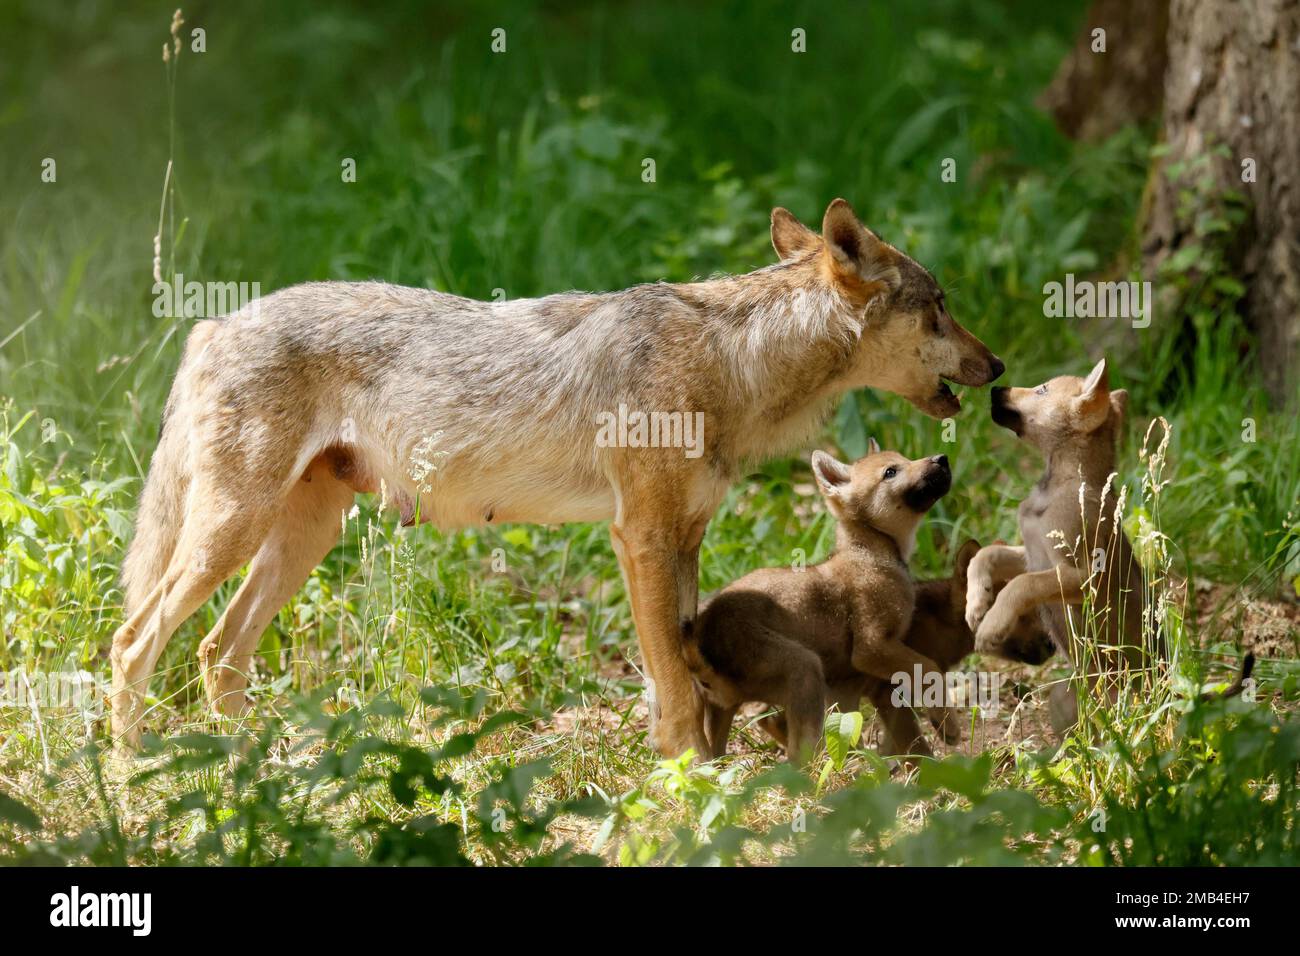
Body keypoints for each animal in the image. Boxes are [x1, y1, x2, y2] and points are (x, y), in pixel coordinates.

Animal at [110, 198, 1005, 754]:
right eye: (940, 305)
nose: (997, 368)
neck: (733, 366)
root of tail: (210, 323)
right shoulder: (639, 538)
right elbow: (674, 686)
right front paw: (686, 781)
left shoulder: (683, 541)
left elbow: (693, 678)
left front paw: (708, 778)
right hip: (232, 535)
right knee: (133, 643)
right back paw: (135, 778)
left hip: (297, 539)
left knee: (218, 654)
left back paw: (246, 776)